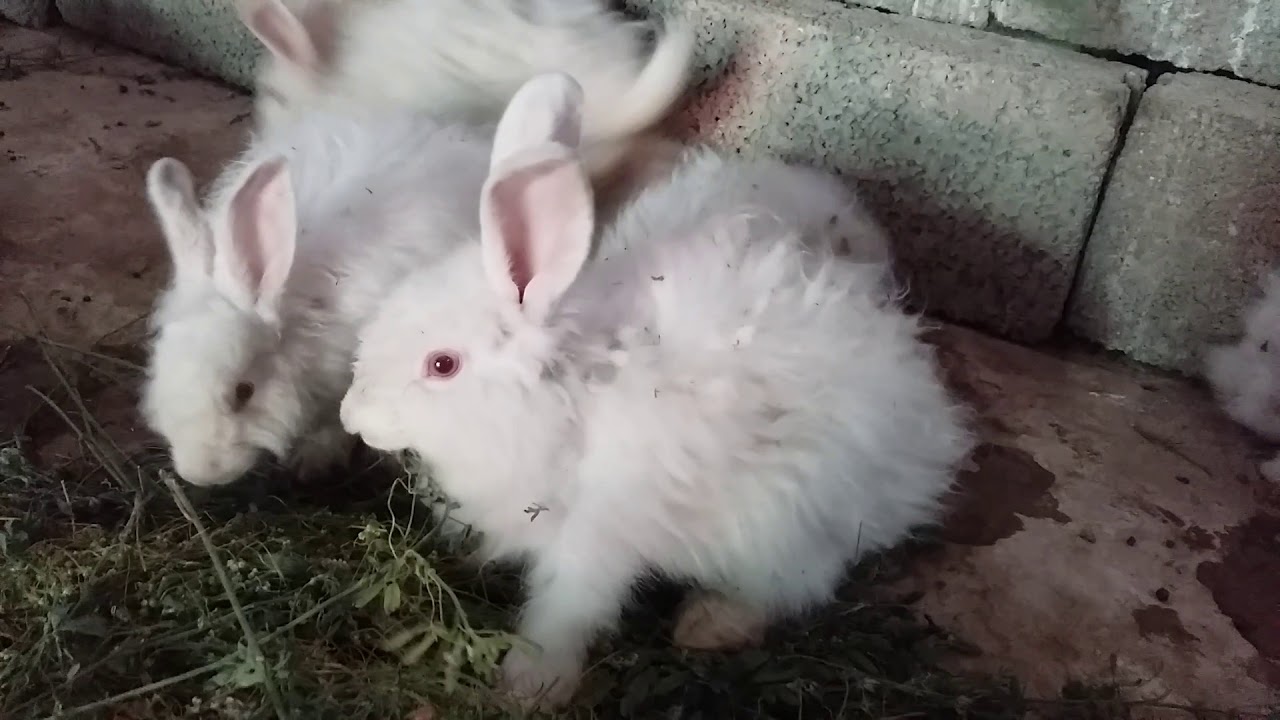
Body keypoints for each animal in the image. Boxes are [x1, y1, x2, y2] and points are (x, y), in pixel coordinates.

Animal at [338, 72, 975, 708]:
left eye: (442, 364)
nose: (352, 416)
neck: (572, 405)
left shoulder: (597, 539)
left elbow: (567, 609)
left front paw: (529, 687)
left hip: (792, 523)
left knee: (795, 584)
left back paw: (709, 624)